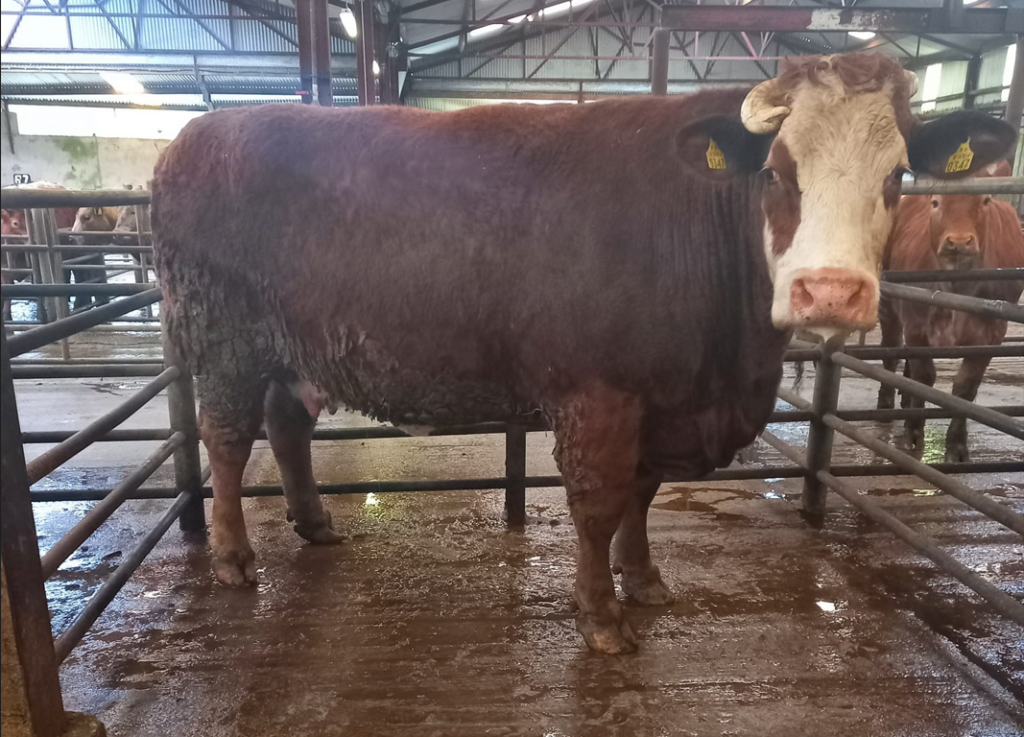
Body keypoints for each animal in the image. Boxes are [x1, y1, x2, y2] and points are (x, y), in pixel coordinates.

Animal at [877, 160, 1024, 462]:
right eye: (936, 202)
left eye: (985, 200)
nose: (959, 241)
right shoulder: (916, 323)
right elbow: (924, 377)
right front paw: (913, 433)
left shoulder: (992, 334)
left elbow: (965, 388)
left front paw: (957, 445)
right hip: (888, 303)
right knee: (891, 349)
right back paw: (886, 403)